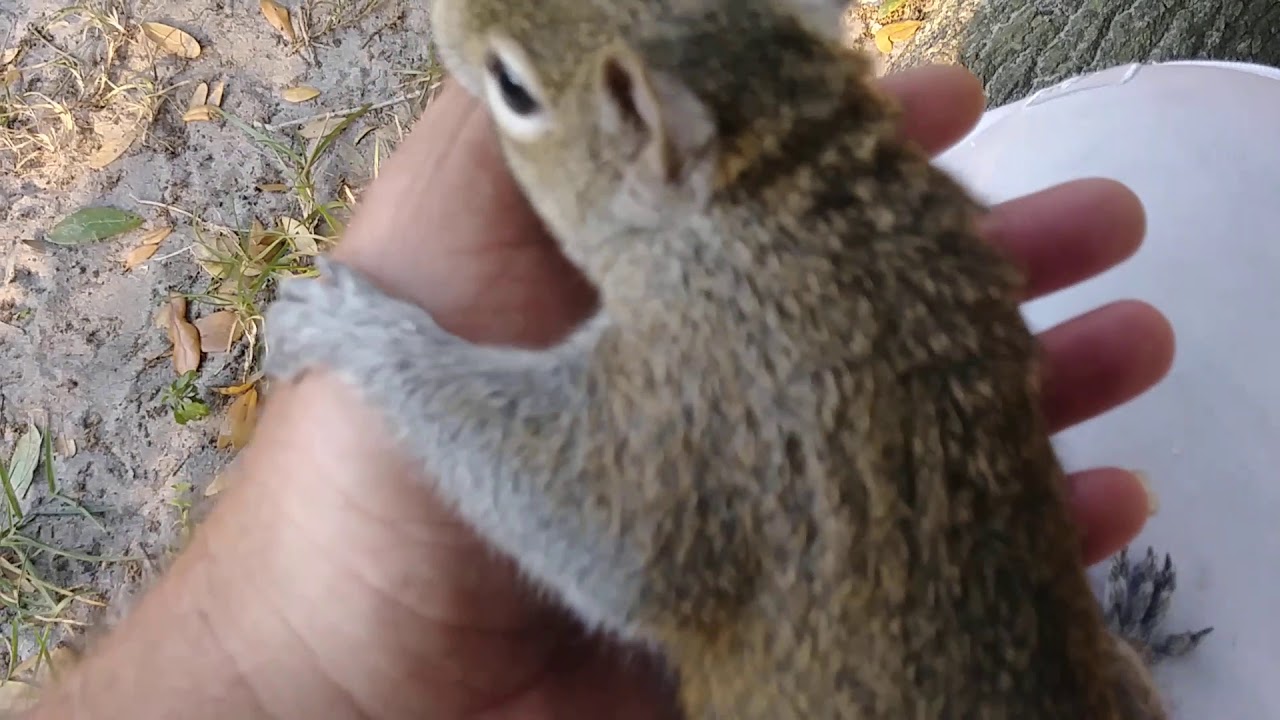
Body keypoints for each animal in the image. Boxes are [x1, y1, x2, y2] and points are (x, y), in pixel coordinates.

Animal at [263, 0, 1211, 716]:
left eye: (514, 90)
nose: (442, 17)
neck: (786, 193)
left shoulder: (713, 408)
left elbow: (591, 528)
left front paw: (349, 324)